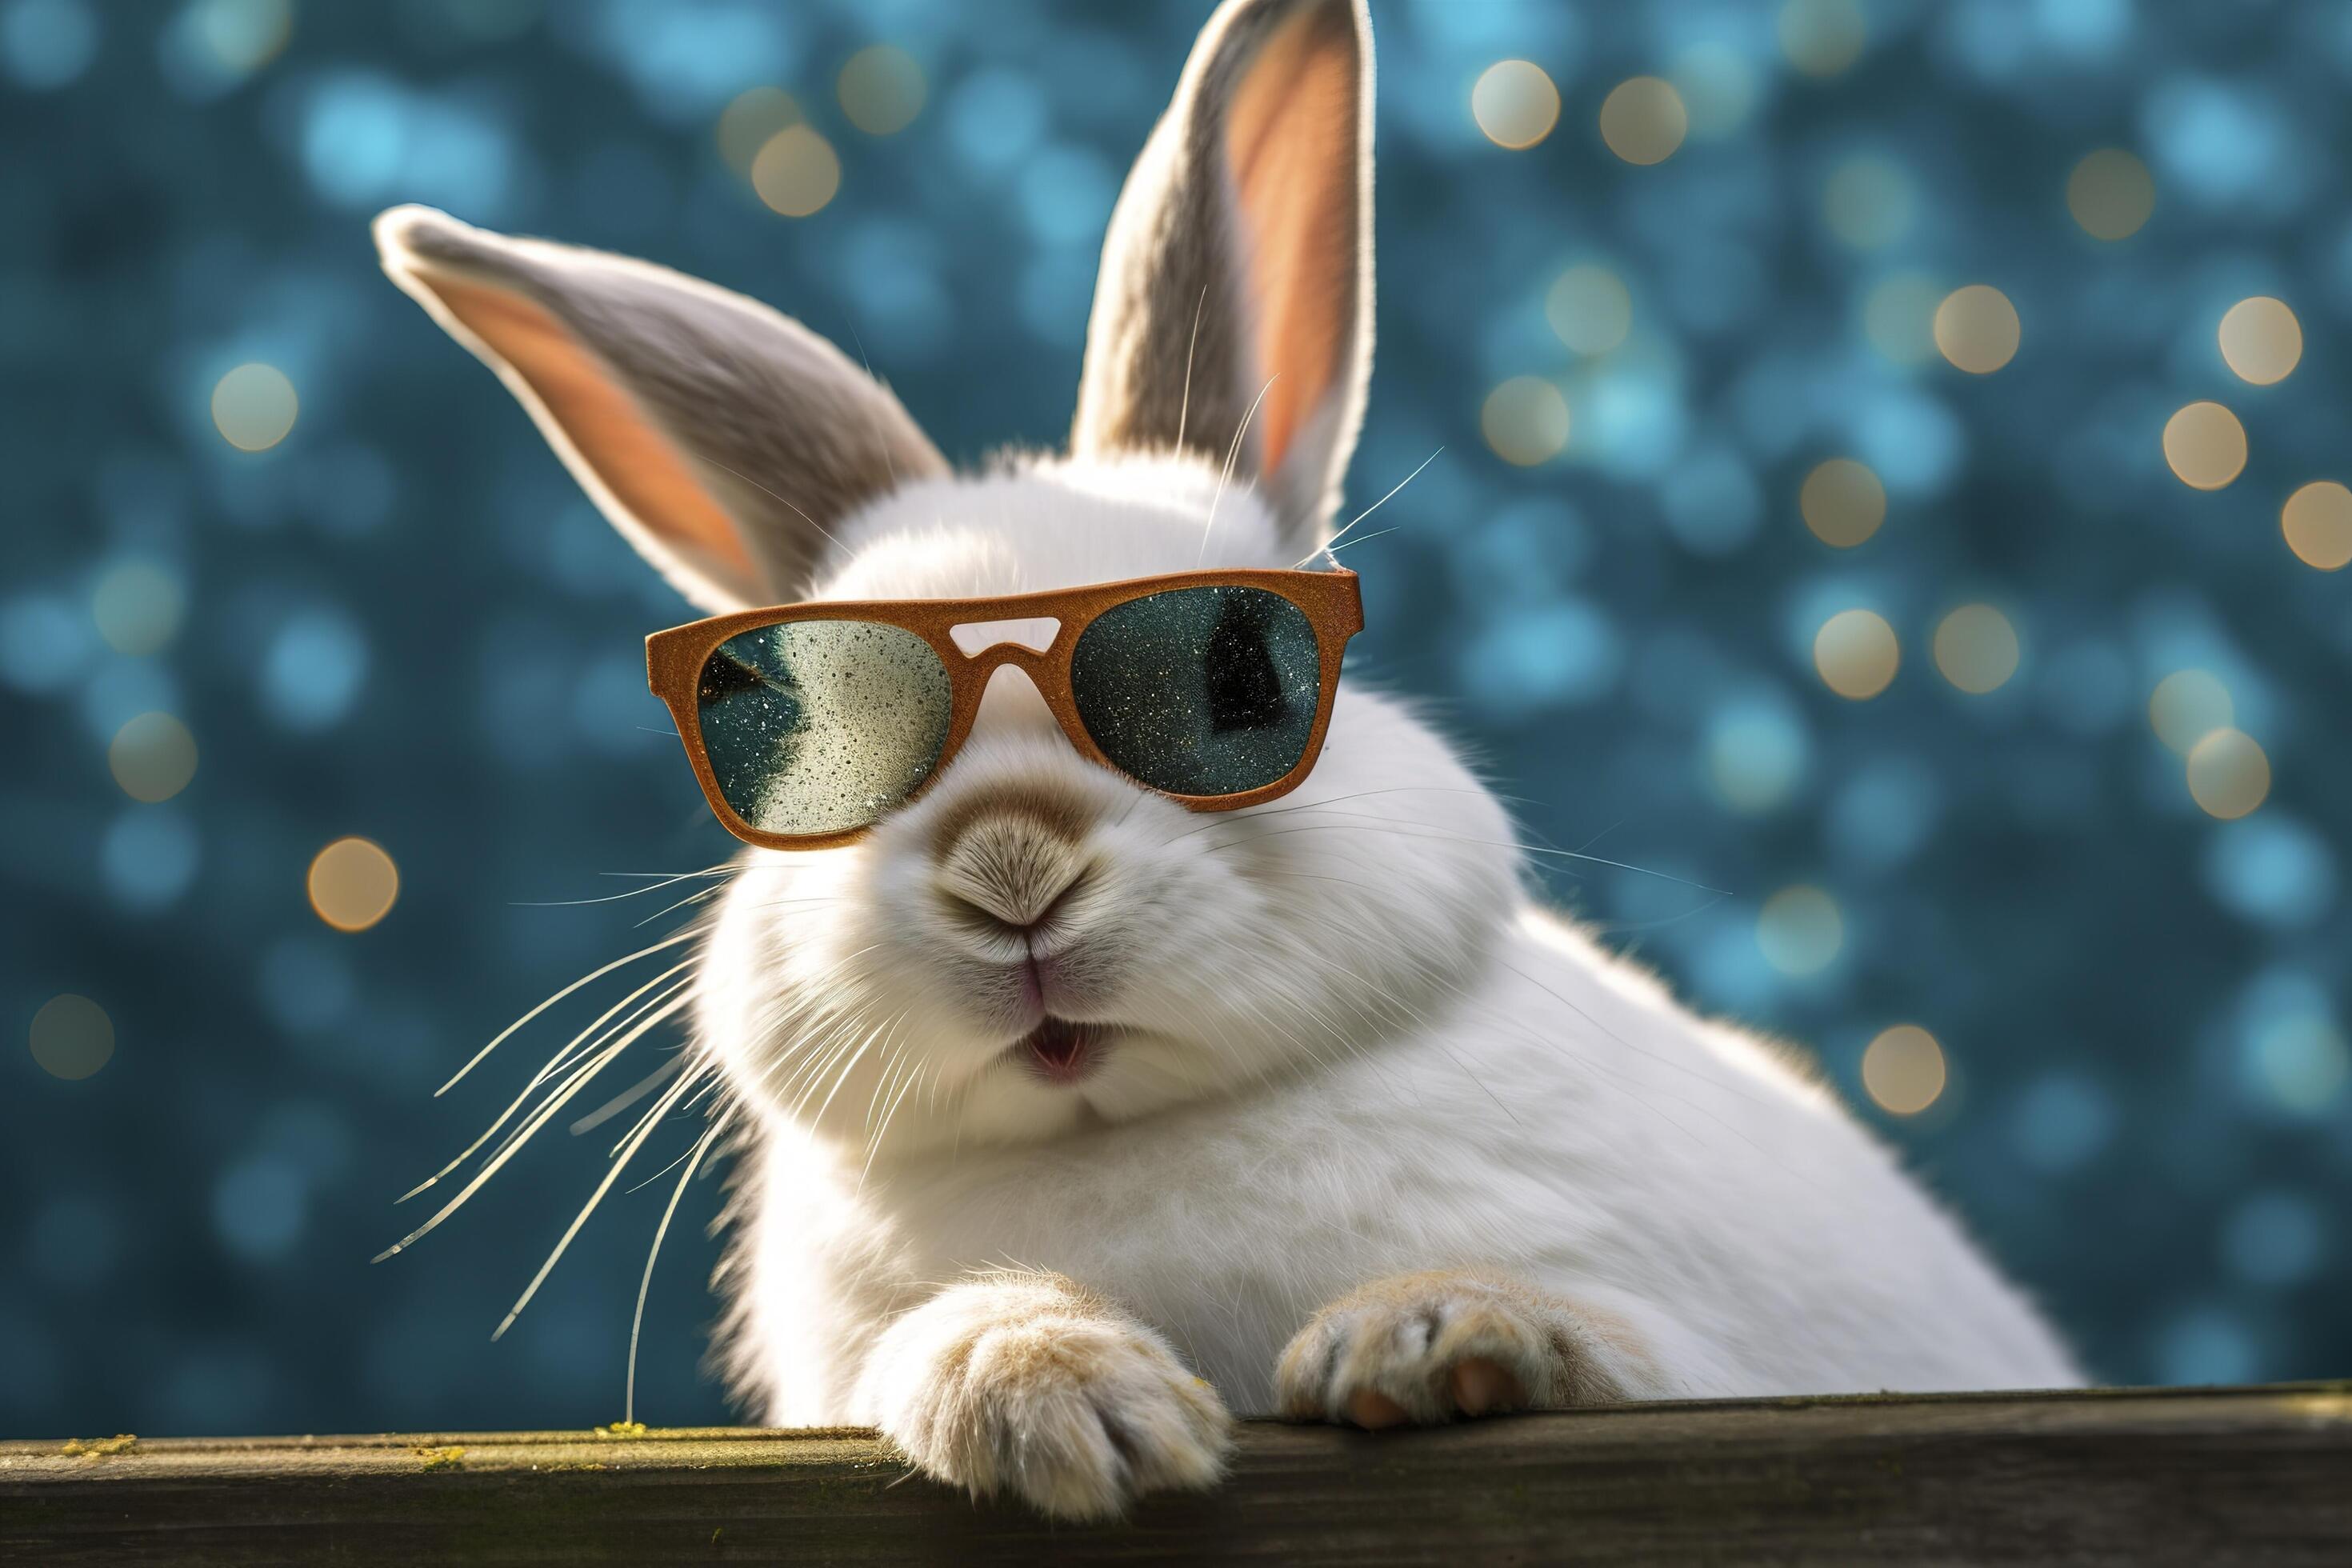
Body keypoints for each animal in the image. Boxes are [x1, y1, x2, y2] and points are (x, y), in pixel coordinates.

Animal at [374, 0, 2080, 1525]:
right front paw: (1061, 1400)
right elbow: (942, 1339)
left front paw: (1432, 1336)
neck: (1132, 1138)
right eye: (820, 738)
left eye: (1235, 677)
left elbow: (1632, 1348)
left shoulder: (1738, 1349)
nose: (1011, 869)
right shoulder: (847, 1364)